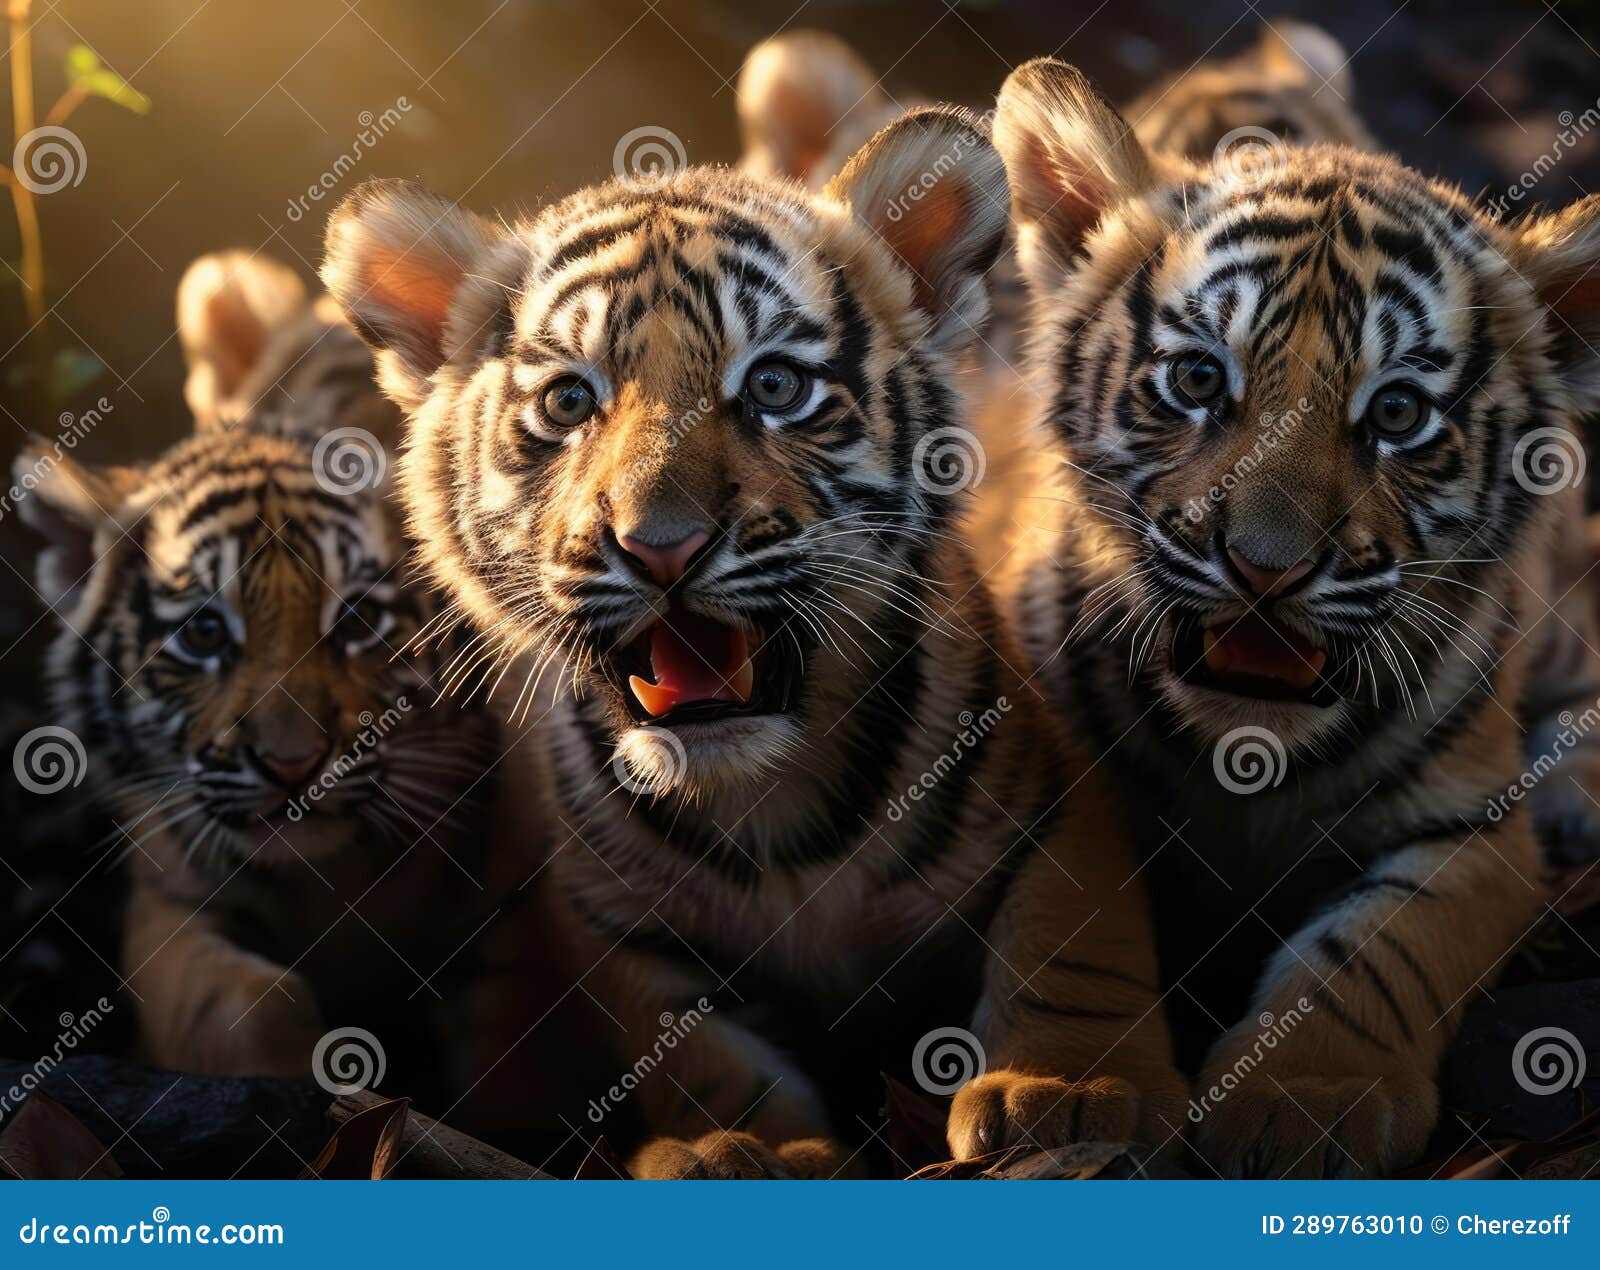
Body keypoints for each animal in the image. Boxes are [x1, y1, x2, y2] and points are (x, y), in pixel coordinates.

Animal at [13, 253, 579, 1128]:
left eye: (358, 620)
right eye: (204, 632)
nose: (290, 765)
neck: (333, 884)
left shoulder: (515, 912)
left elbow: (515, 1064)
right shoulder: (169, 907)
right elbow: (248, 1006)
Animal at [319, 108, 1187, 1177]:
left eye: (774, 385)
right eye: (569, 402)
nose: (660, 546)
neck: (766, 801)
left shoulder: (1059, 800)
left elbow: (1070, 948)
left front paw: (1066, 1091)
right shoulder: (613, 921)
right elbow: (702, 1051)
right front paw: (741, 1150)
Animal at [989, 57, 1600, 1177]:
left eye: (1396, 413)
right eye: (1198, 378)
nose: (1266, 570)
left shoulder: (1471, 825)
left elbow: (1387, 946)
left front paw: (1307, 1099)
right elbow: (1073, 921)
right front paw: (1070, 1094)